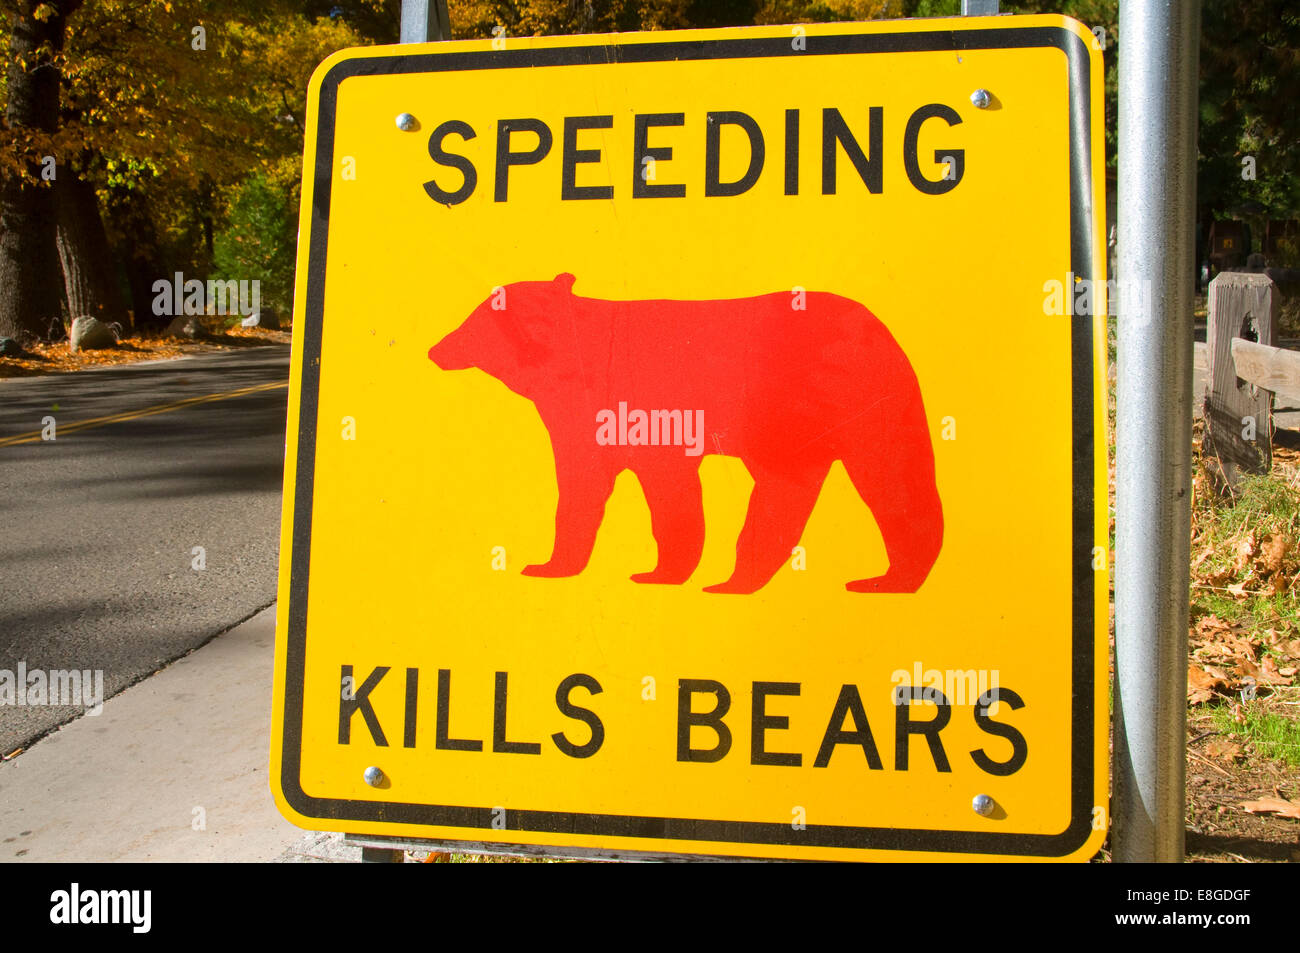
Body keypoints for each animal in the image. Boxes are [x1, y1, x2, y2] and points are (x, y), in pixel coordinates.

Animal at [428, 274, 943, 594]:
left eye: (473, 323)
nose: (437, 348)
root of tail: (883, 333)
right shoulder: (583, 414)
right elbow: (590, 481)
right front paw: (555, 564)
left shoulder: (639, 405)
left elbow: (655, 486)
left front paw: (655, 571)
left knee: (863, 477)